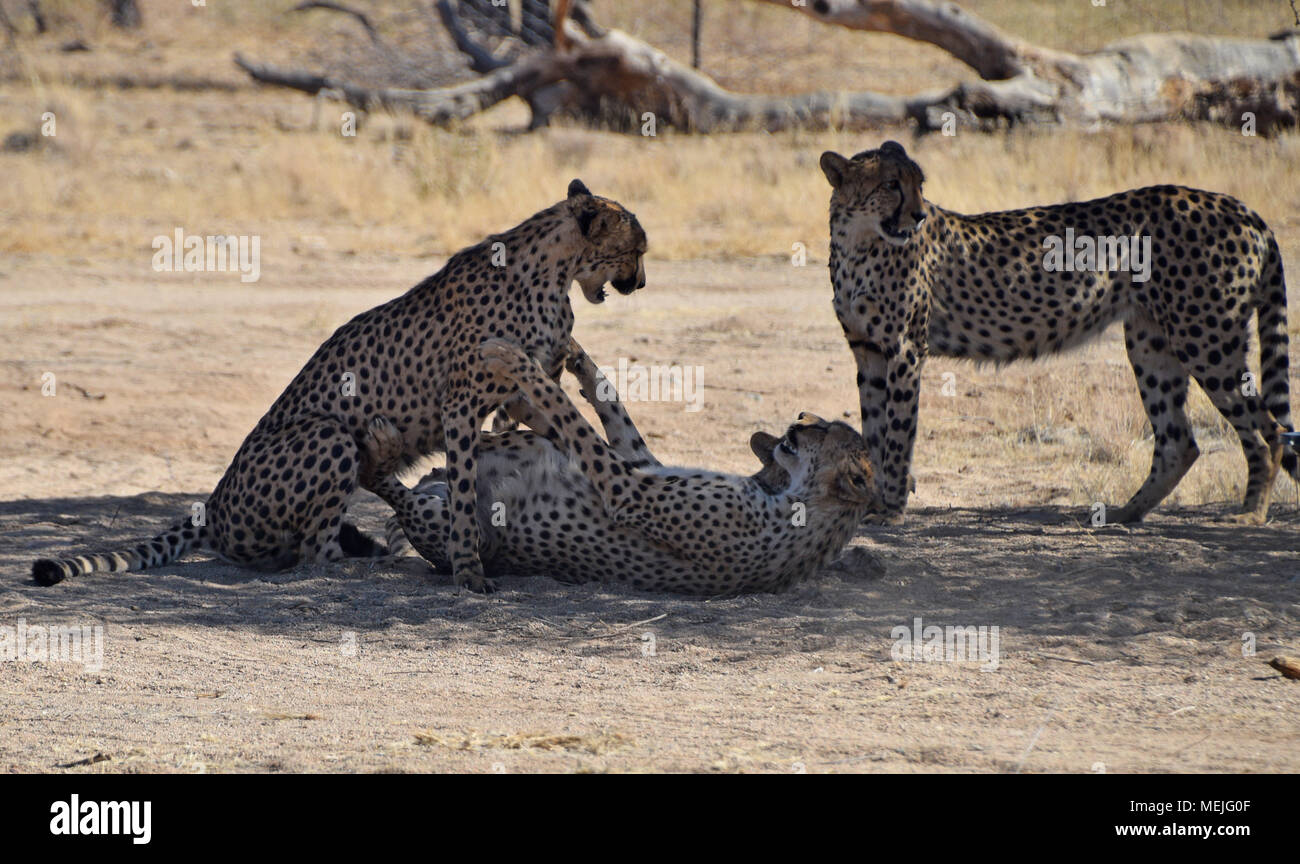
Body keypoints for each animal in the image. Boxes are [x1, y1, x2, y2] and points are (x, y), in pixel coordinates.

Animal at [32, 180, 646, 590]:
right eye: (635, 249)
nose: (639, 283)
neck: (551, 269)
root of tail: (217, 499)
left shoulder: (520, 395)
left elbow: (570, 430)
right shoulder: (461, 404)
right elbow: (467, 488)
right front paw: (469, 571)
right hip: (328, 434)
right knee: (311, 553)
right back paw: (366, 556)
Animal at [366, 338, 880, 595]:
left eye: (824, 430)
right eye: (813, 419)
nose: (798, 421)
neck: (791, 494)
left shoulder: (629, 490)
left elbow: (574, 420)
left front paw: (515, 361)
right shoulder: (639, 465)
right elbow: (608, 405)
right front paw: (575, 357)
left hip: (460, 525)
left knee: (392, 491)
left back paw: (382, 447)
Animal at [821, 140, 1296, 525]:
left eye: (918, 184)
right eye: (890, 184)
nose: (919, 216)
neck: (859, 242)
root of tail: (1242, 208)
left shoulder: (905, 350)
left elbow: (899, 434)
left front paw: (891, 509)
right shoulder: (868, 351)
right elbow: (874, 431)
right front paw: (875, 501)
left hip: (1205, 337)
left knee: (1268, 431)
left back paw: (1250, 514)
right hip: (1151, 341)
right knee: (1180, 441)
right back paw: (1125, 513)